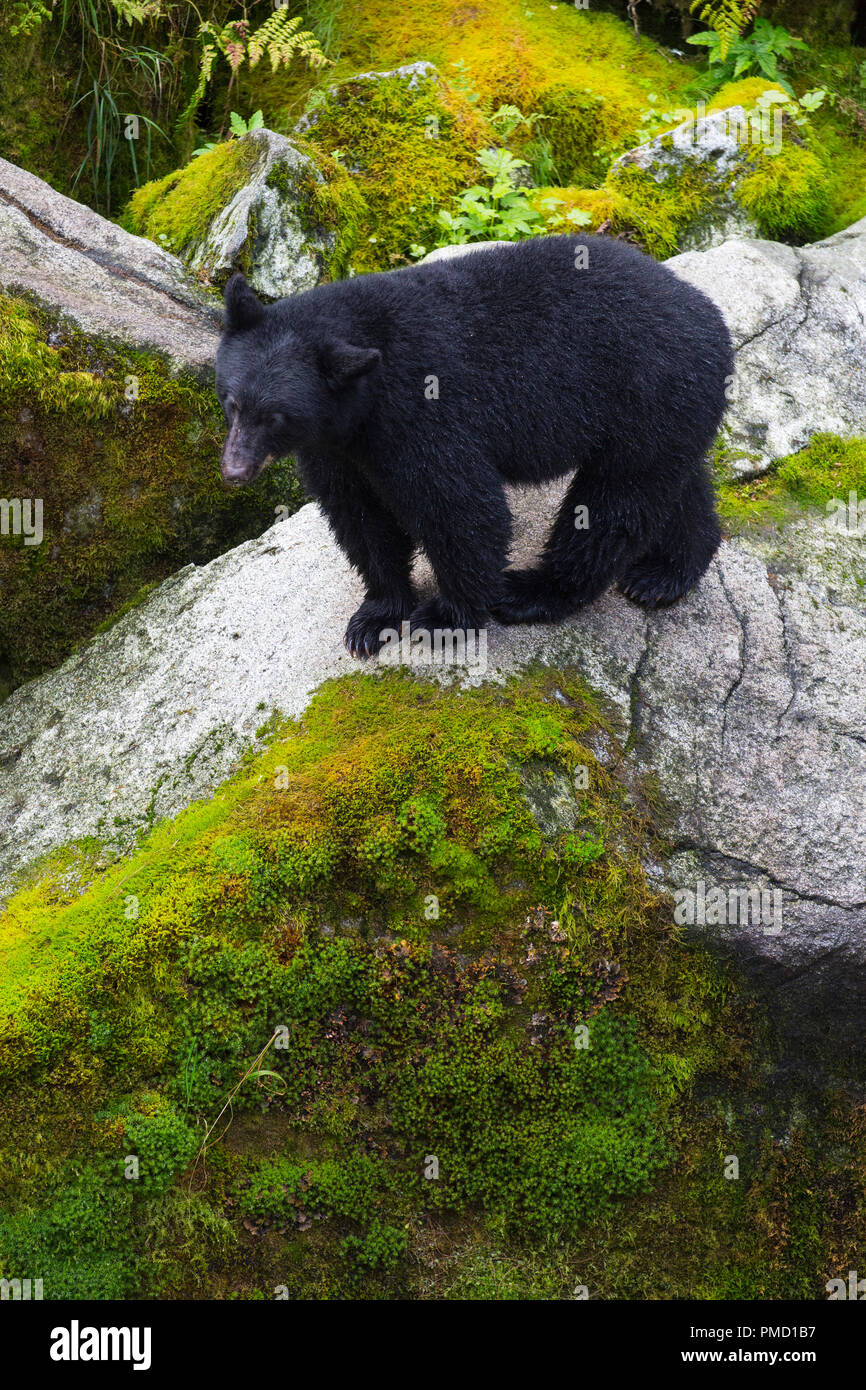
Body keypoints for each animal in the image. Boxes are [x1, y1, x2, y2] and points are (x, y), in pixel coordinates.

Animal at [215, 234, 733, 658]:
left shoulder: (422, 413)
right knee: (675, 486)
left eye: (275, 416)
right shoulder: (335, 448)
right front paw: (375, 617)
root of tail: (711, 315)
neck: (361, 401)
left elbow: (461, 508)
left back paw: (536, 591)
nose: (234, 471)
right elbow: (360, 517)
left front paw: (445, 617)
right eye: (232, 403)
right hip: (670, 412)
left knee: (613, 504)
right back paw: (665, 572)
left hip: (648, 391)